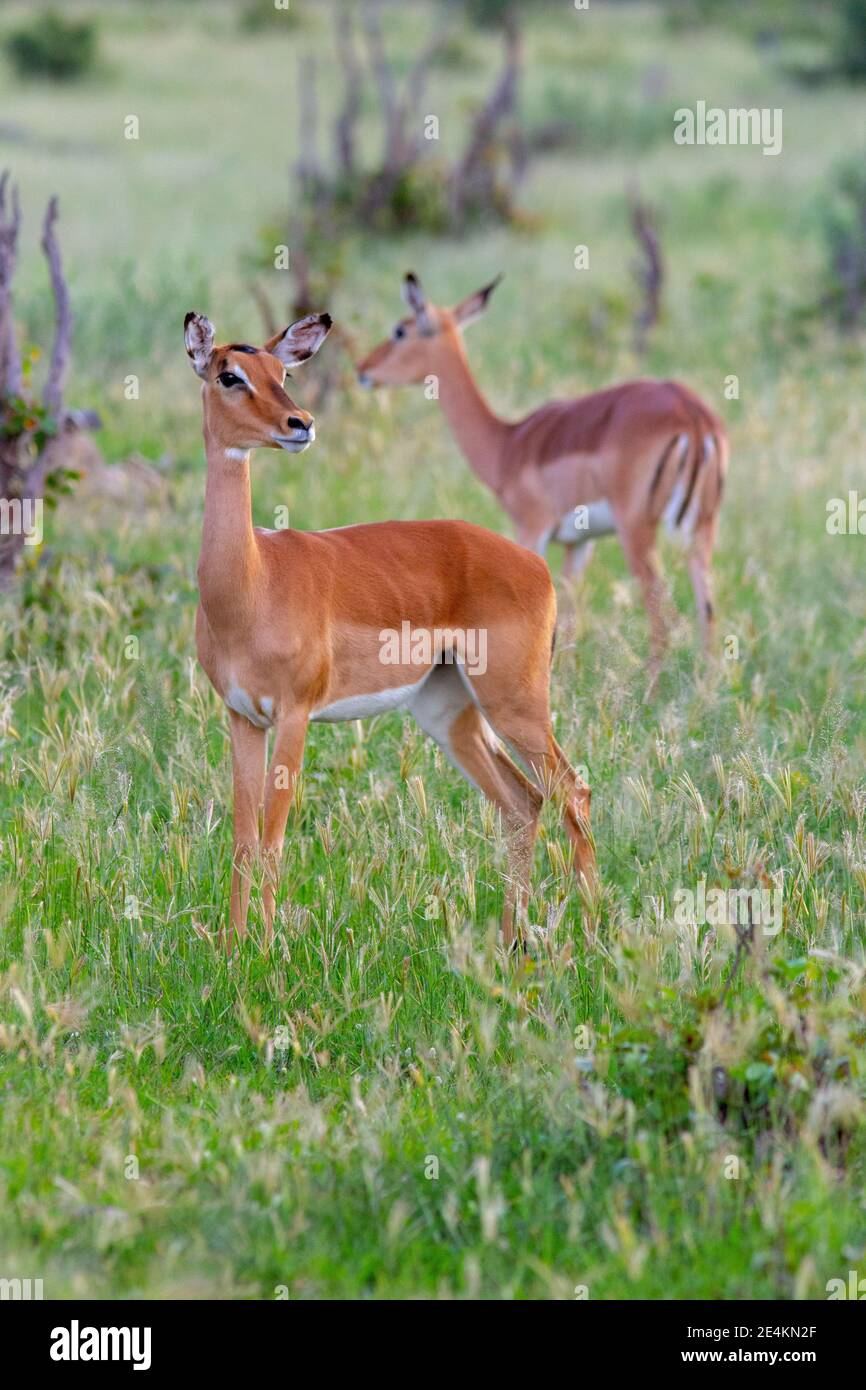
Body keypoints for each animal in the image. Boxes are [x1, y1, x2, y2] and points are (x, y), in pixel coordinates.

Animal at [184, 309, 595, 953]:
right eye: (229, 374)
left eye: (282, 372)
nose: (300, 424)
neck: (252, 582)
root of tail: (535, 565)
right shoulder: (242, 717)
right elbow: (244, 840)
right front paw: (232, 948)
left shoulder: (295, 715)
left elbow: (274, 839)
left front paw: (268, 951)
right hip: (449, 711)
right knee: (522, 802)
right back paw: (510, 942)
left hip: (515, 703)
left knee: (573, 793)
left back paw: (596, 935)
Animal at [357, 273, 728, 682]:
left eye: (400, 330)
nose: (363, 370)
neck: (508, 444)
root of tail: (692, 412)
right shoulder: (579, 543)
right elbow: (566, 621)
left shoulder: (532, 530)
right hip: (701, 528)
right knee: (708, 612)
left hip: (637, 531)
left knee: (666, 618)